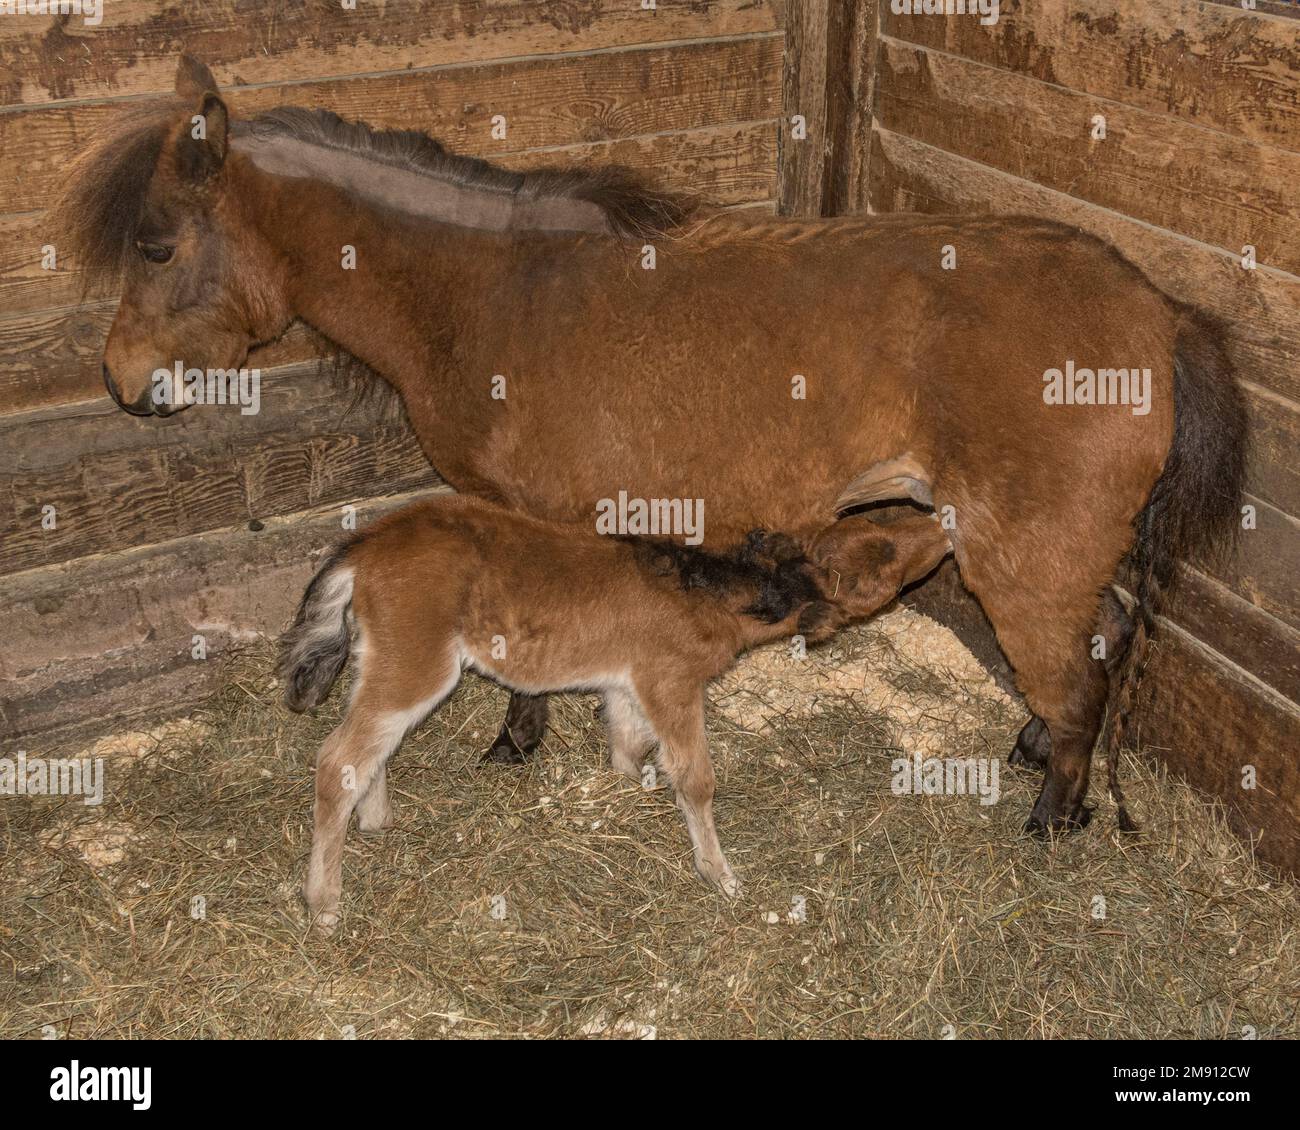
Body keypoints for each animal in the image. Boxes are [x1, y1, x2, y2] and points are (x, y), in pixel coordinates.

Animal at [60, 56, 1248, 836]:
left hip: (1025, 561)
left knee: (1080, 680)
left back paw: (1054, 811)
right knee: (1100, 646)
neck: (491, 292)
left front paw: (516, 742)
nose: (125, 381)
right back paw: (1037, 752)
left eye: (157, 246)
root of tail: (1156, 314)